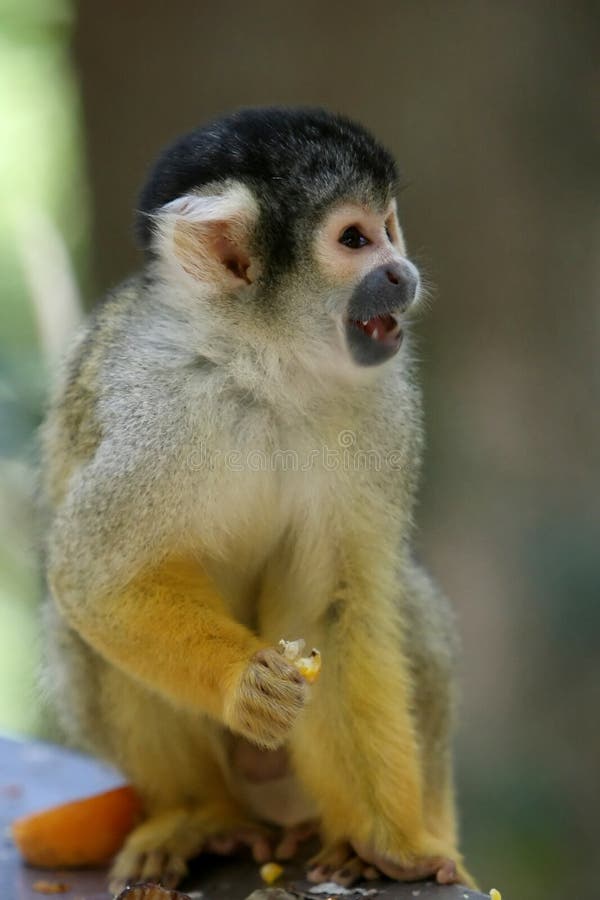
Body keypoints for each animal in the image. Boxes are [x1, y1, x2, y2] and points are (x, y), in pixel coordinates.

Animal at [39, 107, 475, 893]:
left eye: (389, 227)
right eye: (354, 240)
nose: (401, 271)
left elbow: (330, 603)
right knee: (81, 626)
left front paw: (389, 842)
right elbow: (94, 578)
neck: (266, 367)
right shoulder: (160, 417)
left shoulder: (383, 407)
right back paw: (197, 814)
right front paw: (245, 683)